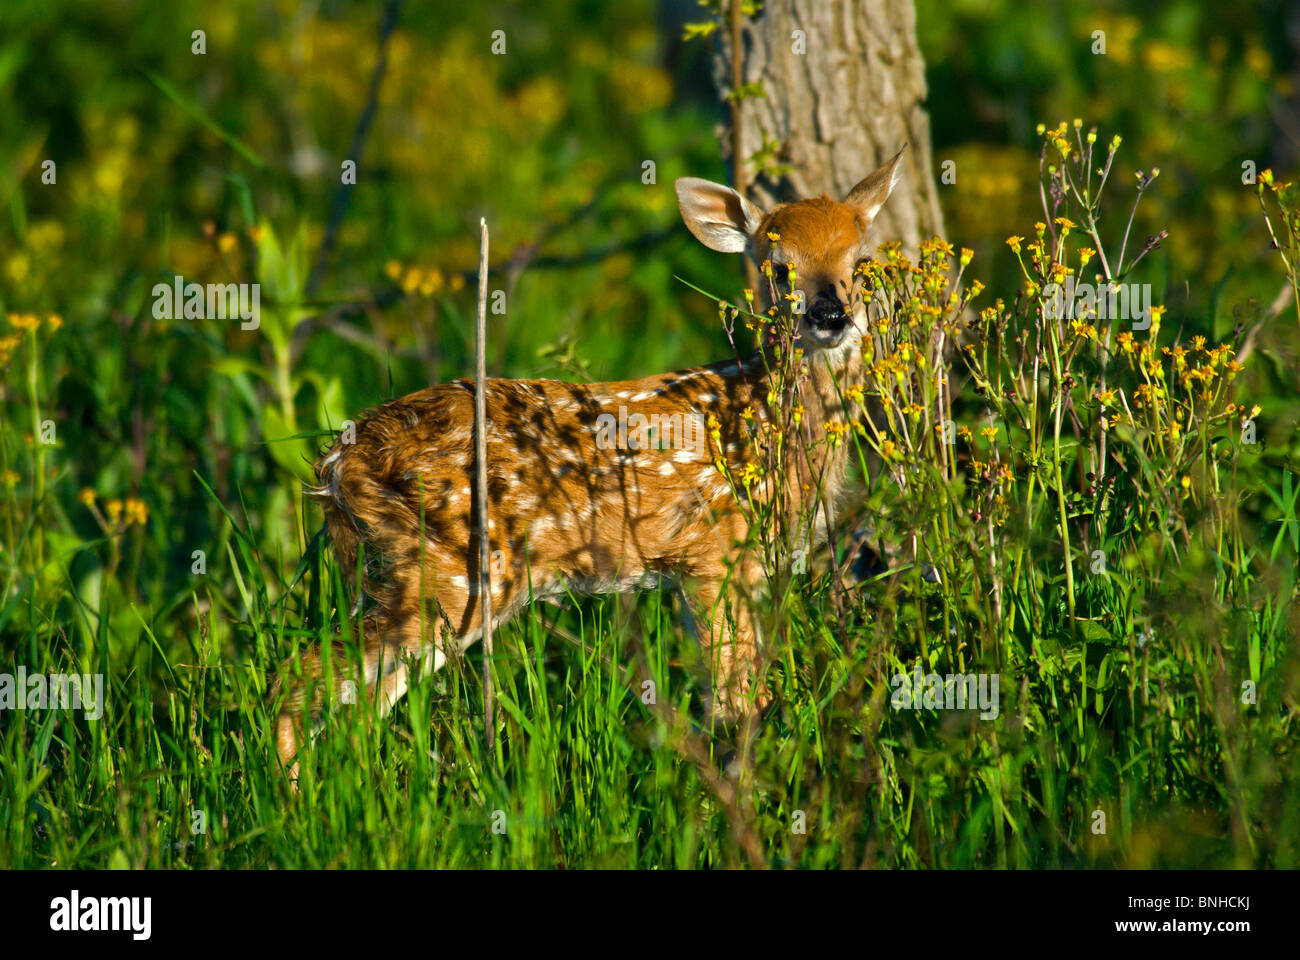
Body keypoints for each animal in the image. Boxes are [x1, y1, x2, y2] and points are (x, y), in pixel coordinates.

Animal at [273, 147, 907, 773]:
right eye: (778, 268)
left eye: (861, 260)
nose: (831, 317)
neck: (769, 423)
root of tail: (337, 464)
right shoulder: (719, 552)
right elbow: (737, 695)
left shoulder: (688, 569)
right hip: (448, 572)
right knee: (303, 676)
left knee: (355, 699)